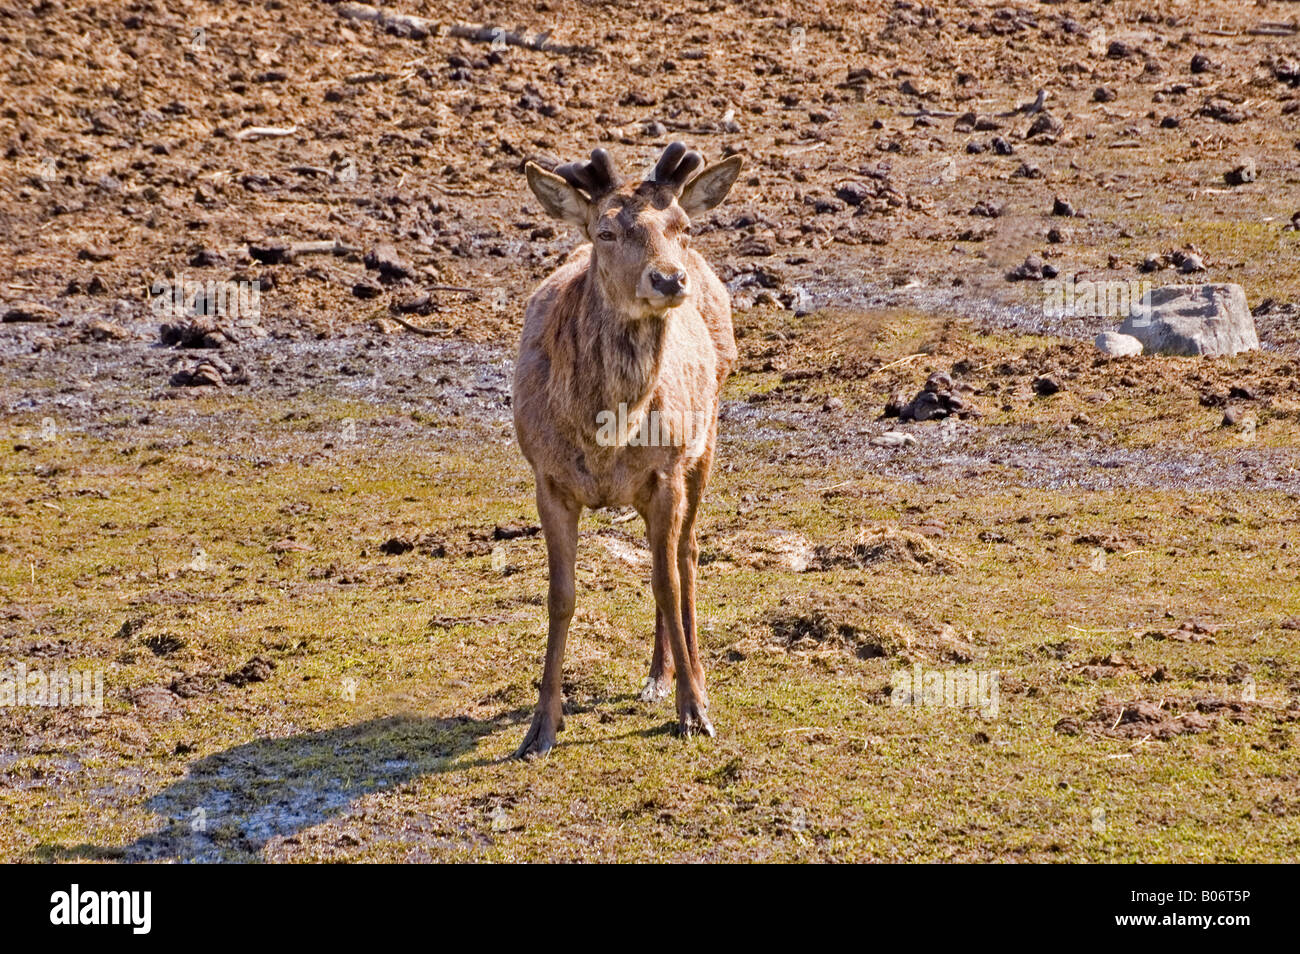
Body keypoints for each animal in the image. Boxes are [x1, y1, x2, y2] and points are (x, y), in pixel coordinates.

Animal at [511, 142, 743, 758]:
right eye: (606, 231)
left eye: (681, 226)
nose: (668, 279)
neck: (606, 435)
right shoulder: (548, 480)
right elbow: (560, 595)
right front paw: (541, 728)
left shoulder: (666, 474)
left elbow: (666, 581)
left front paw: (695, 711)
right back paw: (658, 676)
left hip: (705, 442)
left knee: (685, 557)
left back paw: (686, 677)